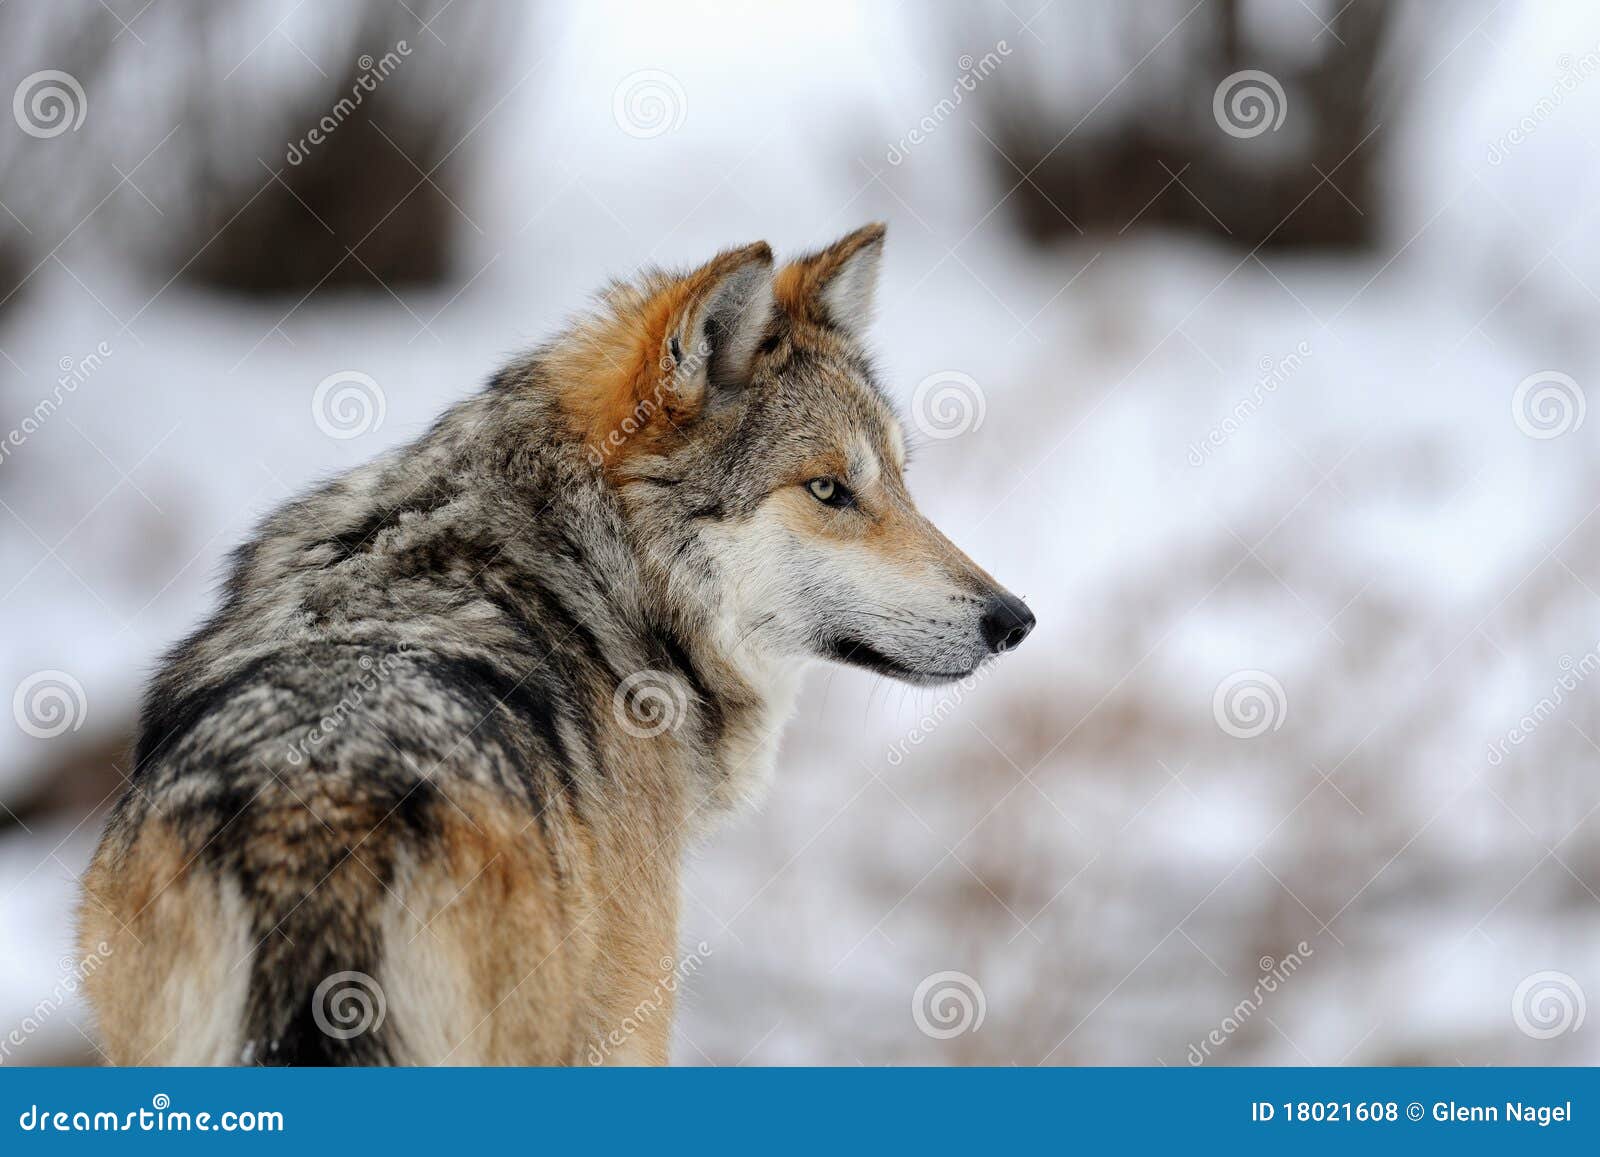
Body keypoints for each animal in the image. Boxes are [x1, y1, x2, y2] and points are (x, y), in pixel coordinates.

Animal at [77, 224, 1035, 1065]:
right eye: (829, 489)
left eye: (901, 479)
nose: (1014, 619)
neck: (589, 571)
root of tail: (312, 820)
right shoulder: (630, 1015)